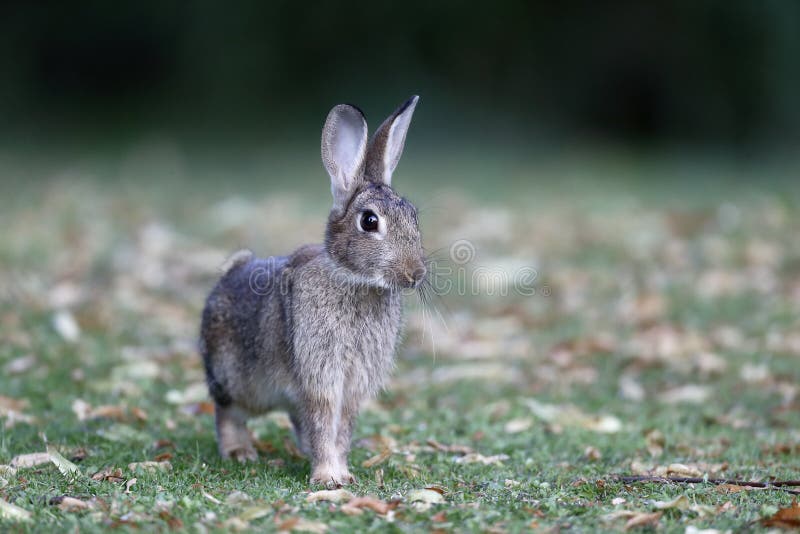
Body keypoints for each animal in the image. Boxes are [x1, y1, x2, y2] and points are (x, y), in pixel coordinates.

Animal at [200, 96, 426, 486]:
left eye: (413, 216)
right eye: (369, 221)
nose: (416, 274)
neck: (353, 279)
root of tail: (229, 274)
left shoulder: (351, 385)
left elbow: (340, 429)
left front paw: (343, 473)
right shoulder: (318, 375)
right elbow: (322, 423)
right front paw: (328, 479)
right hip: (236, 380)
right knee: (227, 412)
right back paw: (240, 452)